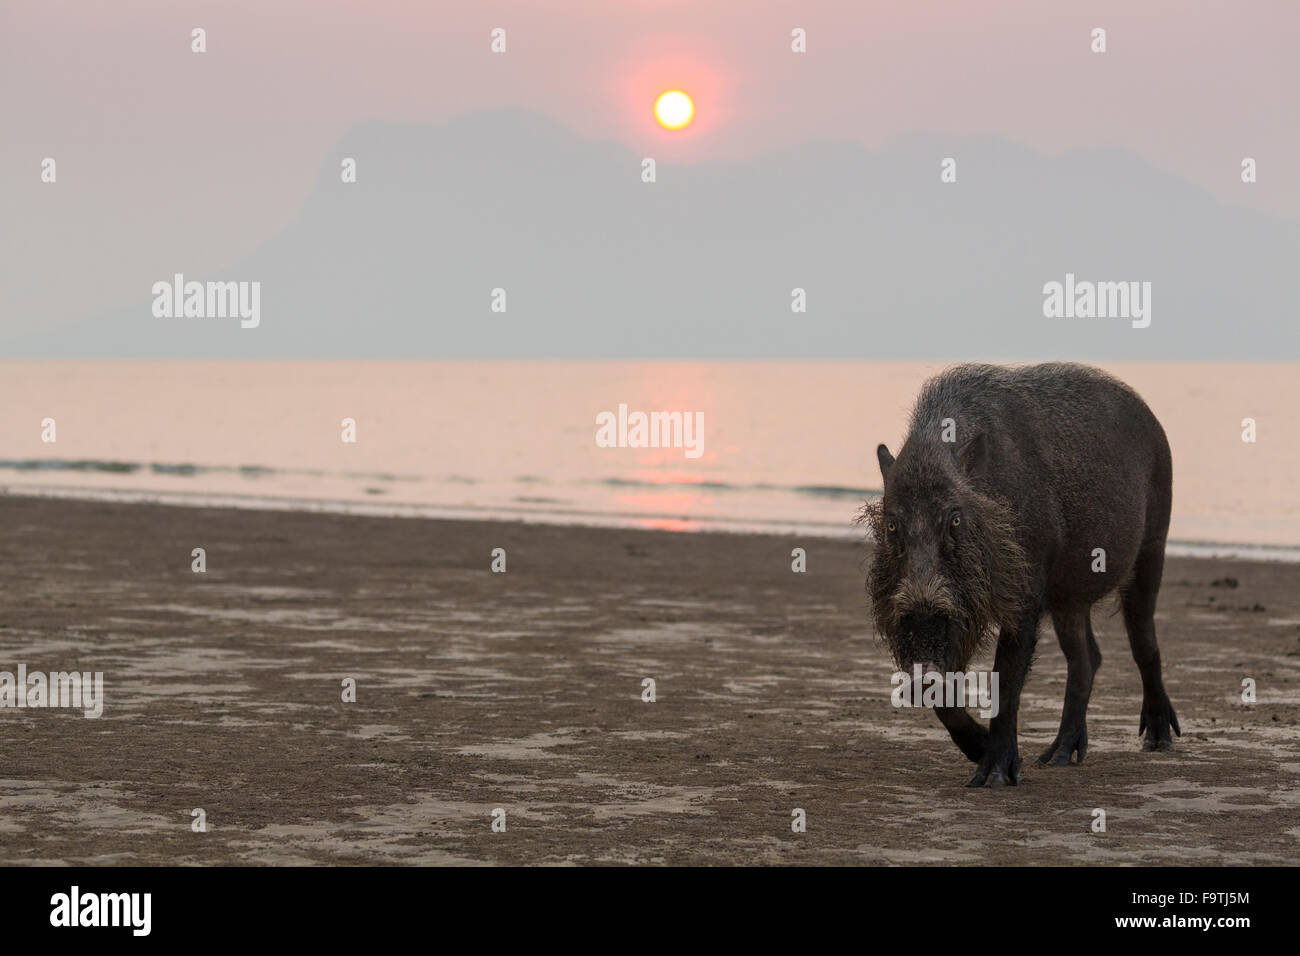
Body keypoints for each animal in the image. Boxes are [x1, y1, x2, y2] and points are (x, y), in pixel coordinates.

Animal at [864, 362, 1180, 787]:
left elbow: (1008, 675)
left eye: (955, 519)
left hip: (1152, 545)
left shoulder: (1026, 593)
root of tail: (1153, 421)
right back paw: (1058, 756)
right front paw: (985, 754)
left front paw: (995, 776)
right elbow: (942, 690)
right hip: (1067, 599)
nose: (922, 614)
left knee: (1143, 644)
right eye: (892, 524)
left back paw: (1158, 742)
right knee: (1087, 657)